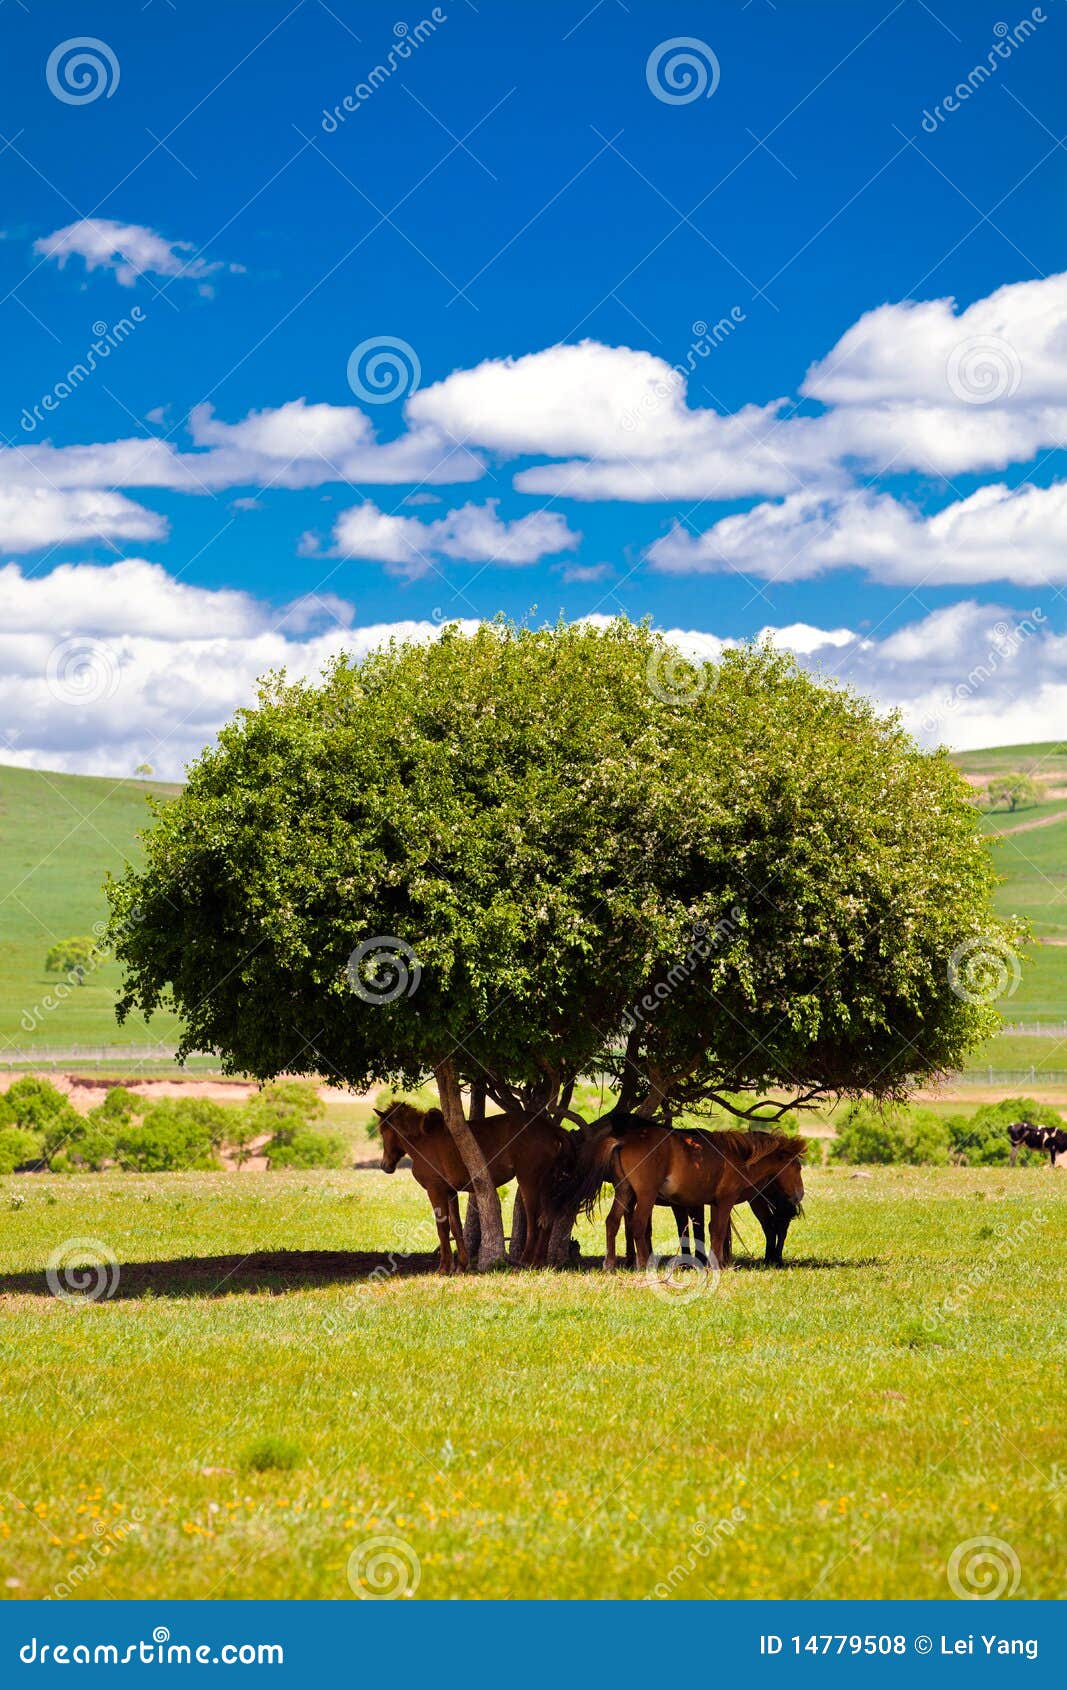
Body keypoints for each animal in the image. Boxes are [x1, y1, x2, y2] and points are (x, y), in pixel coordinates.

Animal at [376, 1100, 571, 1272]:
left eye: (383, 1132)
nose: (385, 1166)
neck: (424, 1141)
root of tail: (550, 1129)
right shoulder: (450, 1192)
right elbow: (456, 1227)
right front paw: (461, 1265)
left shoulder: (435, 1190)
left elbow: (442, 1228)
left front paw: (444, 1267)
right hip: (546, 1185)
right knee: (546, 1220)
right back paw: (539, 1263)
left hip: (528, 1182)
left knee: (533, 1221)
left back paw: (525, 1262)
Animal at [546, 1113, 807, 1270]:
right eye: (796, 1166)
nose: (799, 1195)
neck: (739, 1157)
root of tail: (624, 1141)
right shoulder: (723, 1201)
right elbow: (717, 1230)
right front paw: (715, 1264)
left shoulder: (709, 1204)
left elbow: (708, 1230)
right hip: (646, 1195)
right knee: (638, 1225)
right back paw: (644, 1263)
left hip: (625, 1192)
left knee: (612, 1222)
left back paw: (610, 1263)